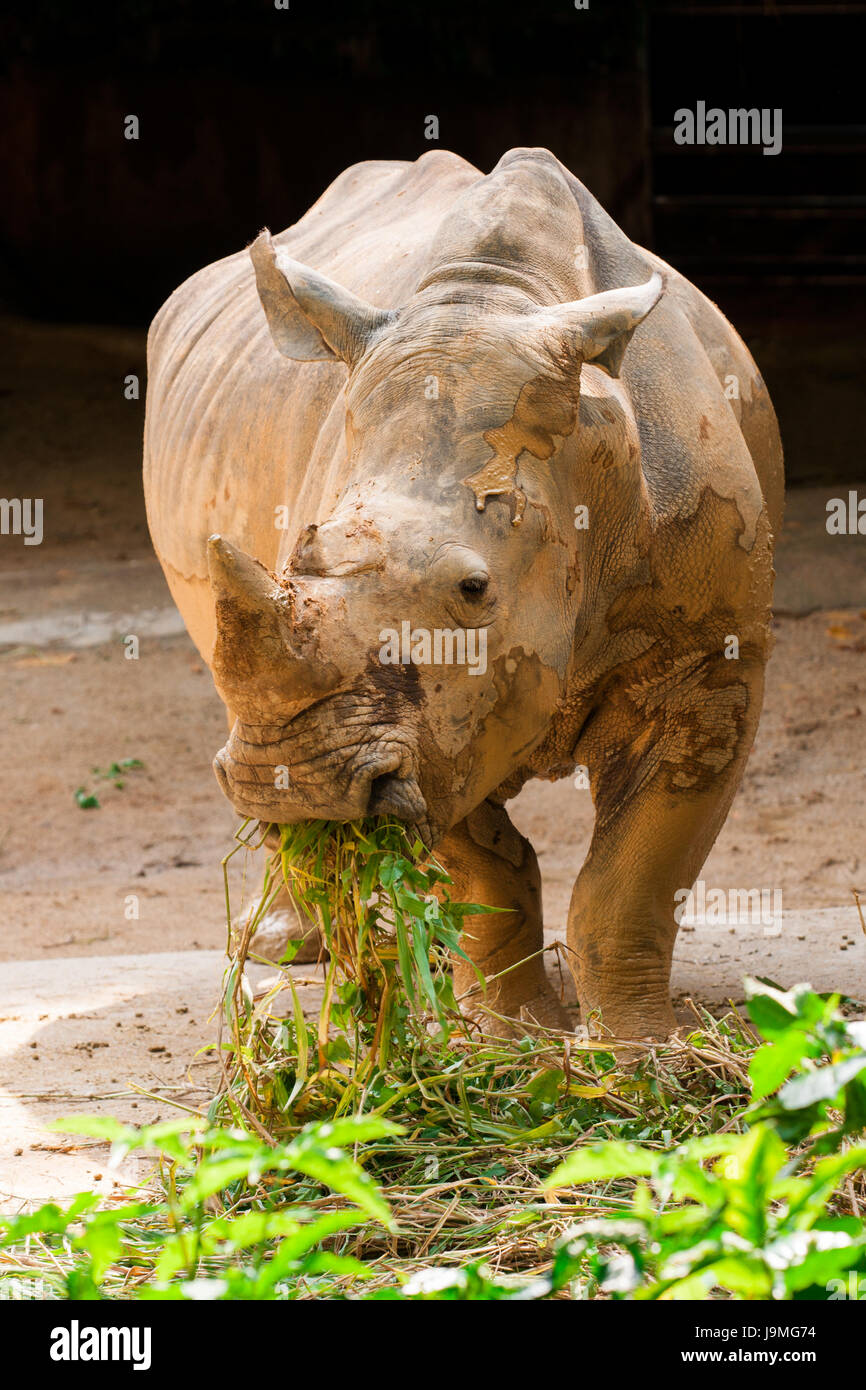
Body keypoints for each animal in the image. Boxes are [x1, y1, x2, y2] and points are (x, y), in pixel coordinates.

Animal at [144, 147, 783, 1040]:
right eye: (302, 556)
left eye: (474, 588)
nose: (298, 782)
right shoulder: (429, 728)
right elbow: (481, 865)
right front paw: (511, 1037)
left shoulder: (708, 658)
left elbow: (632, 879)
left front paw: (633, 1049)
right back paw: (292, 949)